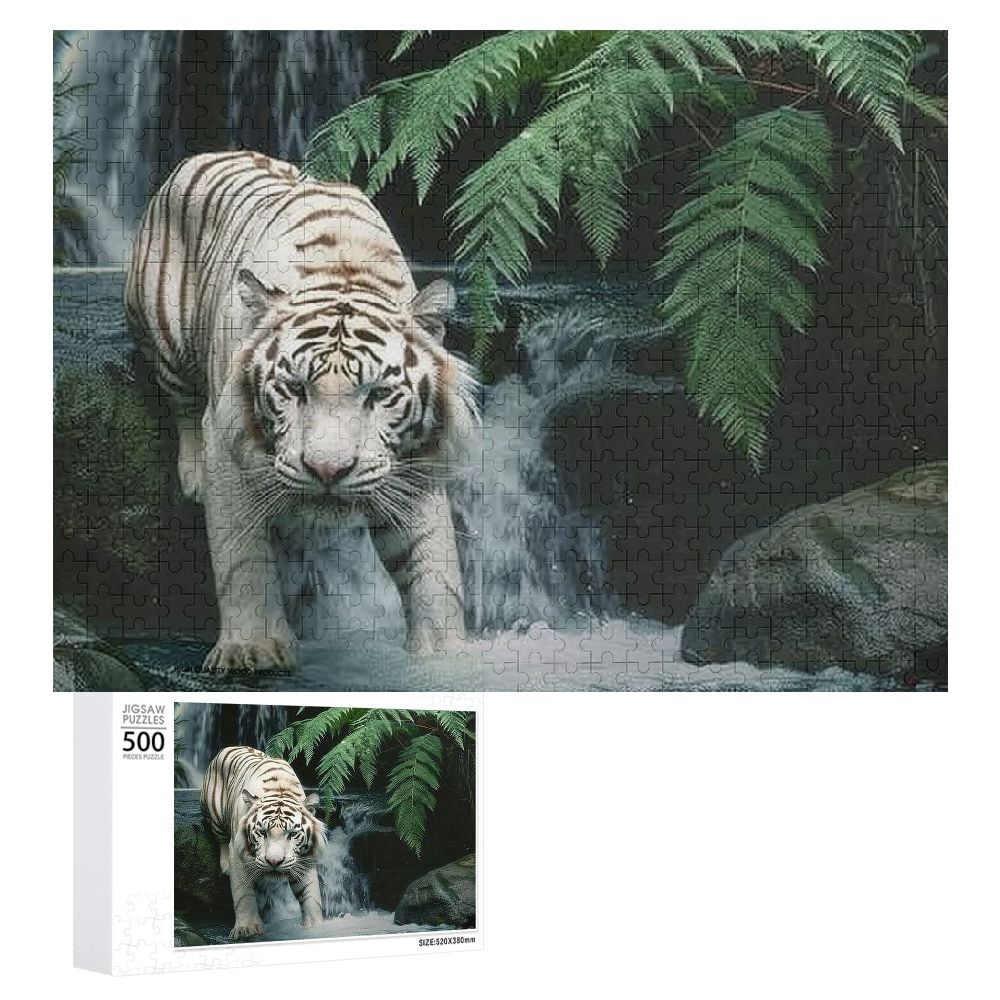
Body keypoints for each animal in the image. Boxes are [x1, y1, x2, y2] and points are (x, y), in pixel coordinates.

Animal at [125, 151, 478, 673]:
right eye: (295, 388)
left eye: (378, 394)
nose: (327, 470)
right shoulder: (229, 447)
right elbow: (242, 554)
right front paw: (250, 648)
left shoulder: (416, 457)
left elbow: (433, 560)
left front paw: (445, 655)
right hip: (163, 330)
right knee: (182, 400)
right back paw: (192, 475)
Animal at [201, 745, 326, 941]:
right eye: (262, 832)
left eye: (292, 834)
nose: (274, 862)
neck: (280, 788)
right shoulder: (238, 854)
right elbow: (243, 894)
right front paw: (246, 929)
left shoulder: (305, 857)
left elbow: (311, 894)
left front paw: (316, 927)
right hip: (215, 812)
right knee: (220, 838)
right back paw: (225, 865)